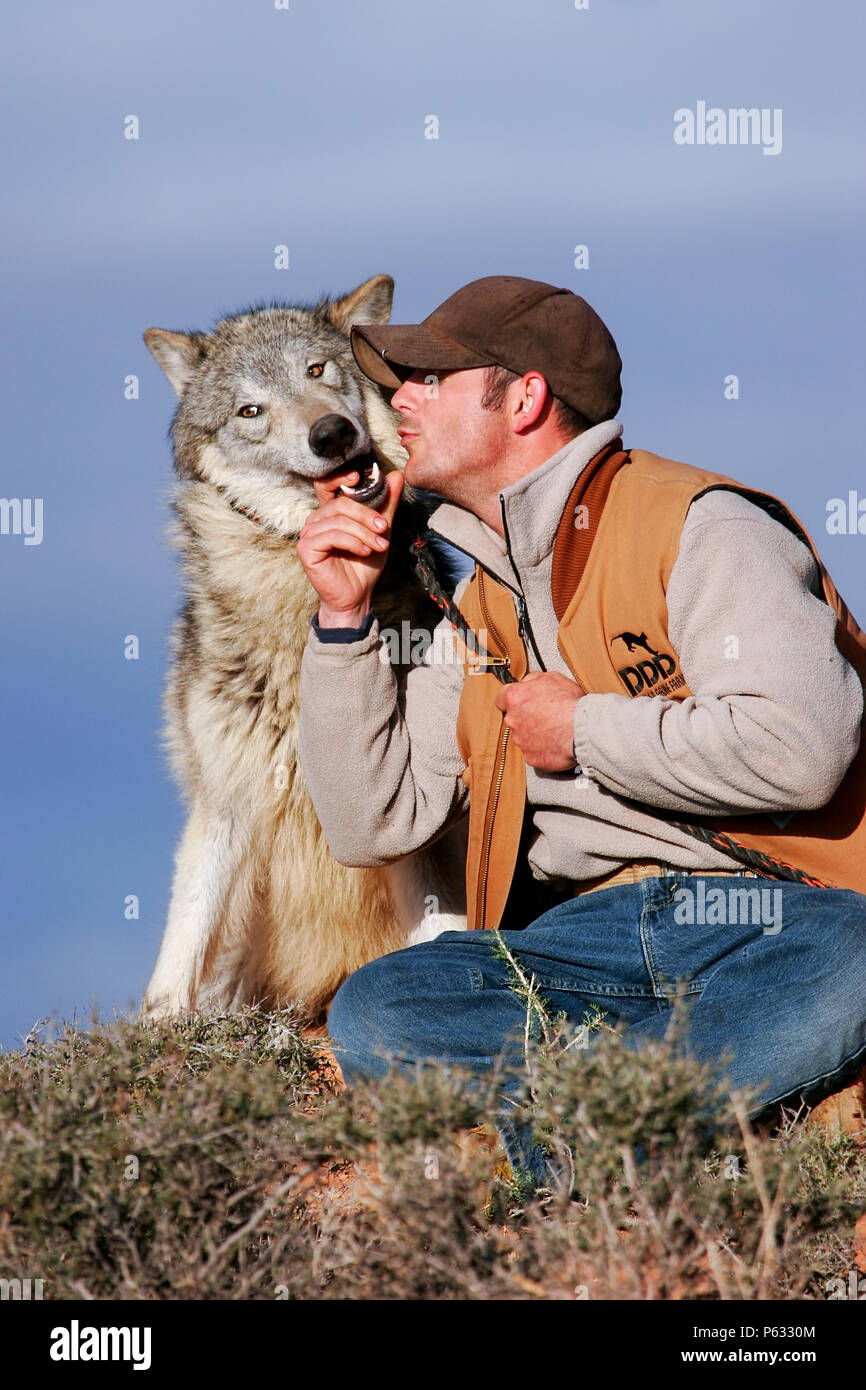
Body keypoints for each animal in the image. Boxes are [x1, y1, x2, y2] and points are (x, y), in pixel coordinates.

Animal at [141, 274, 468, 1022]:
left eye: (318, 371)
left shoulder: (418, 825)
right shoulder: (227, 796)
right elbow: (182, 940)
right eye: (250, 410)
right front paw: (161, 1026)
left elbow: (446, 931)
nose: (331, 433)